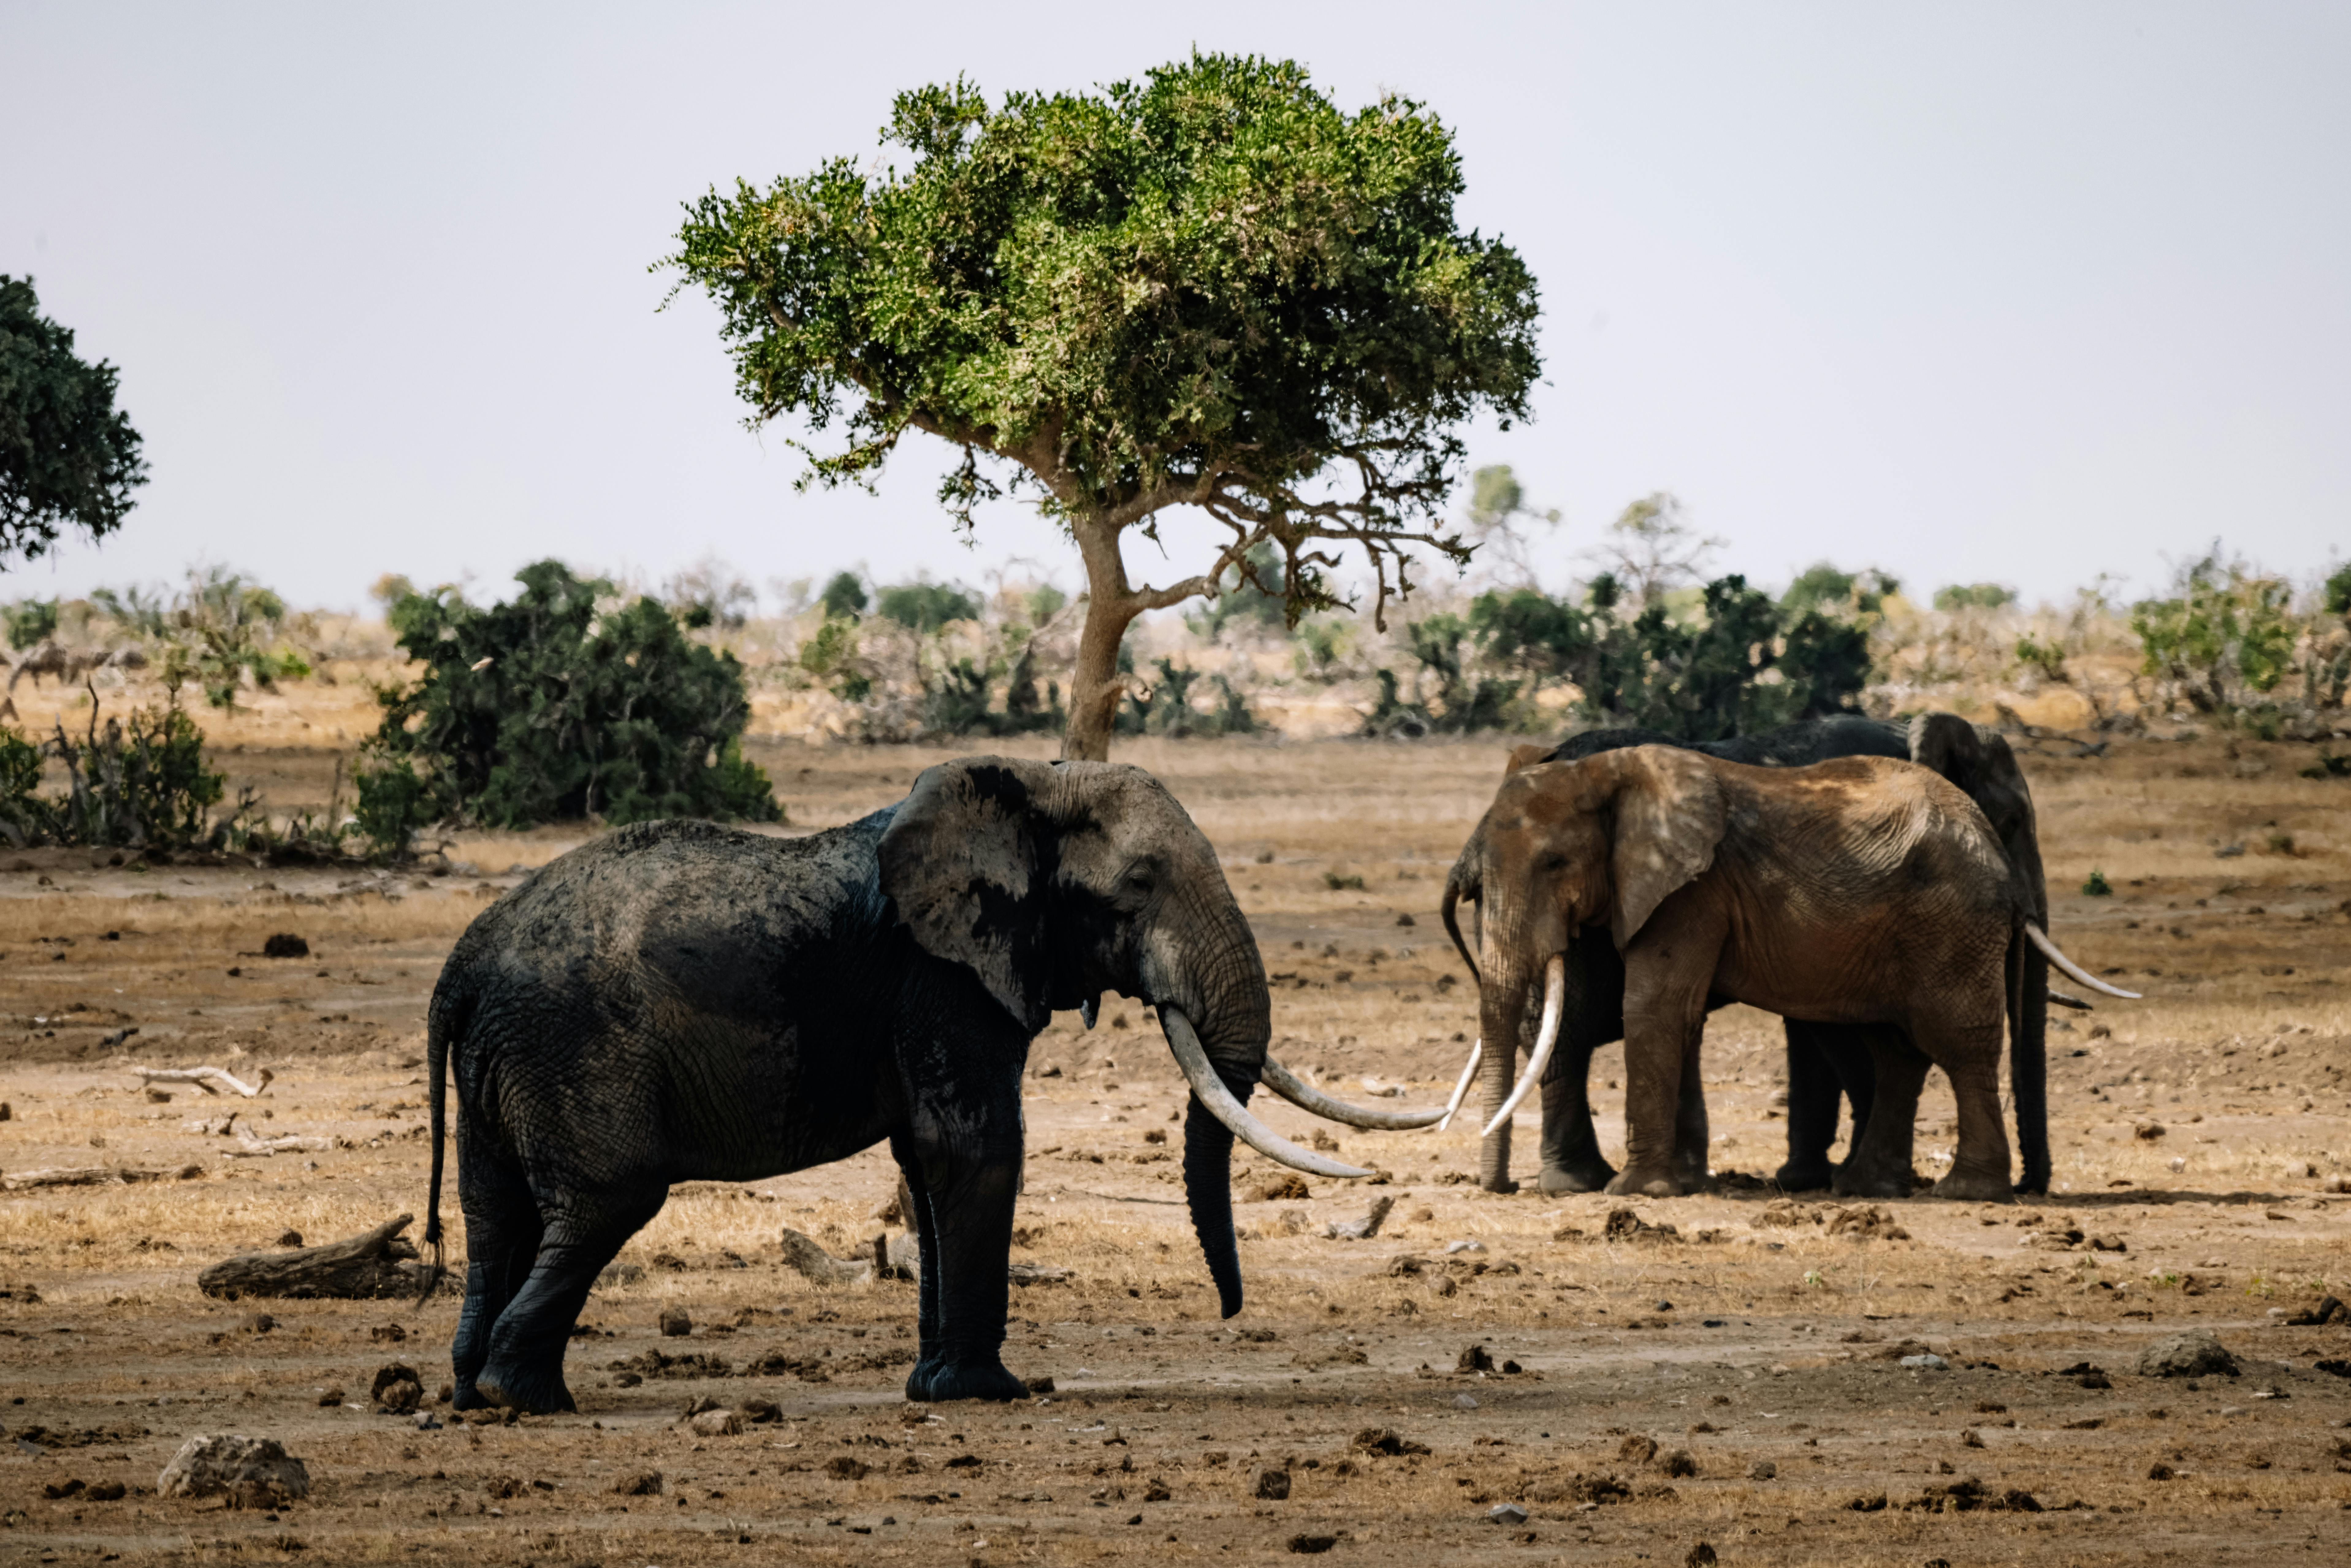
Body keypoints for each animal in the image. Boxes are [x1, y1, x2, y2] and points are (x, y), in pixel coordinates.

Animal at [419, 756, 1437, 1414]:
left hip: (505, 1061)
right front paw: (991, 1392)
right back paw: (525, 1396)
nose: (1226, 1312)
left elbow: (924, 1159)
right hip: (570, 1048)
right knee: (602, 1204)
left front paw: (933, 1389)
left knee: (495, 1210)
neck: (1030, 788)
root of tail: (461, 966)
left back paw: (472, 1392)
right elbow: (974, 1150)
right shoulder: (944, 977)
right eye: (1140, 882)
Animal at [1440, 714, 2116, 1197]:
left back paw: (1942, 1190)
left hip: (1939, 920)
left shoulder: (1701, 890)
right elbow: (1674, 1009)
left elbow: (1671, 1007)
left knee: (1941, 1042)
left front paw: (1643, 1190)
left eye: (1555, 862)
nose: (2035, 1184)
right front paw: (1665, 1188)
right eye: (2016, 820)